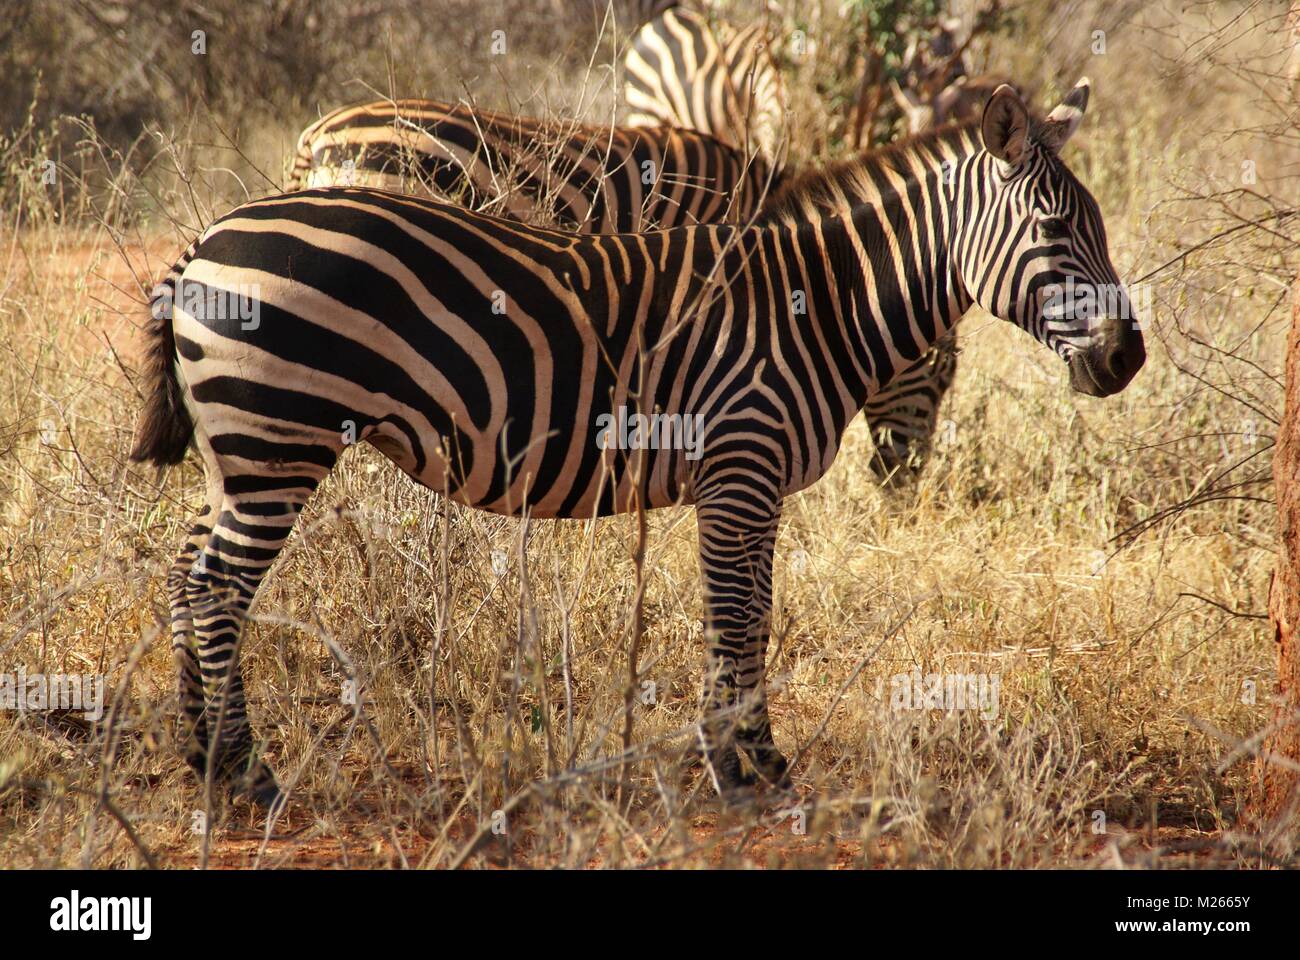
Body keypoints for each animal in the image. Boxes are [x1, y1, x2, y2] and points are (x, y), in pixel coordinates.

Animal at [130, 77, 1143, 803]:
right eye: (1057, 229)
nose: (1127, 357)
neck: (815, 302)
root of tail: (210, 237)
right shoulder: (739, 466)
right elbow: (737, 615)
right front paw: (740, 767)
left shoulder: (751, 481)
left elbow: (751, 612)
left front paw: (754, 757)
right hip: (278, 437)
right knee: (218, 588)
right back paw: (248, 775)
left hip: (238, 450)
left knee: (186, 574)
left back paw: (201, 757)